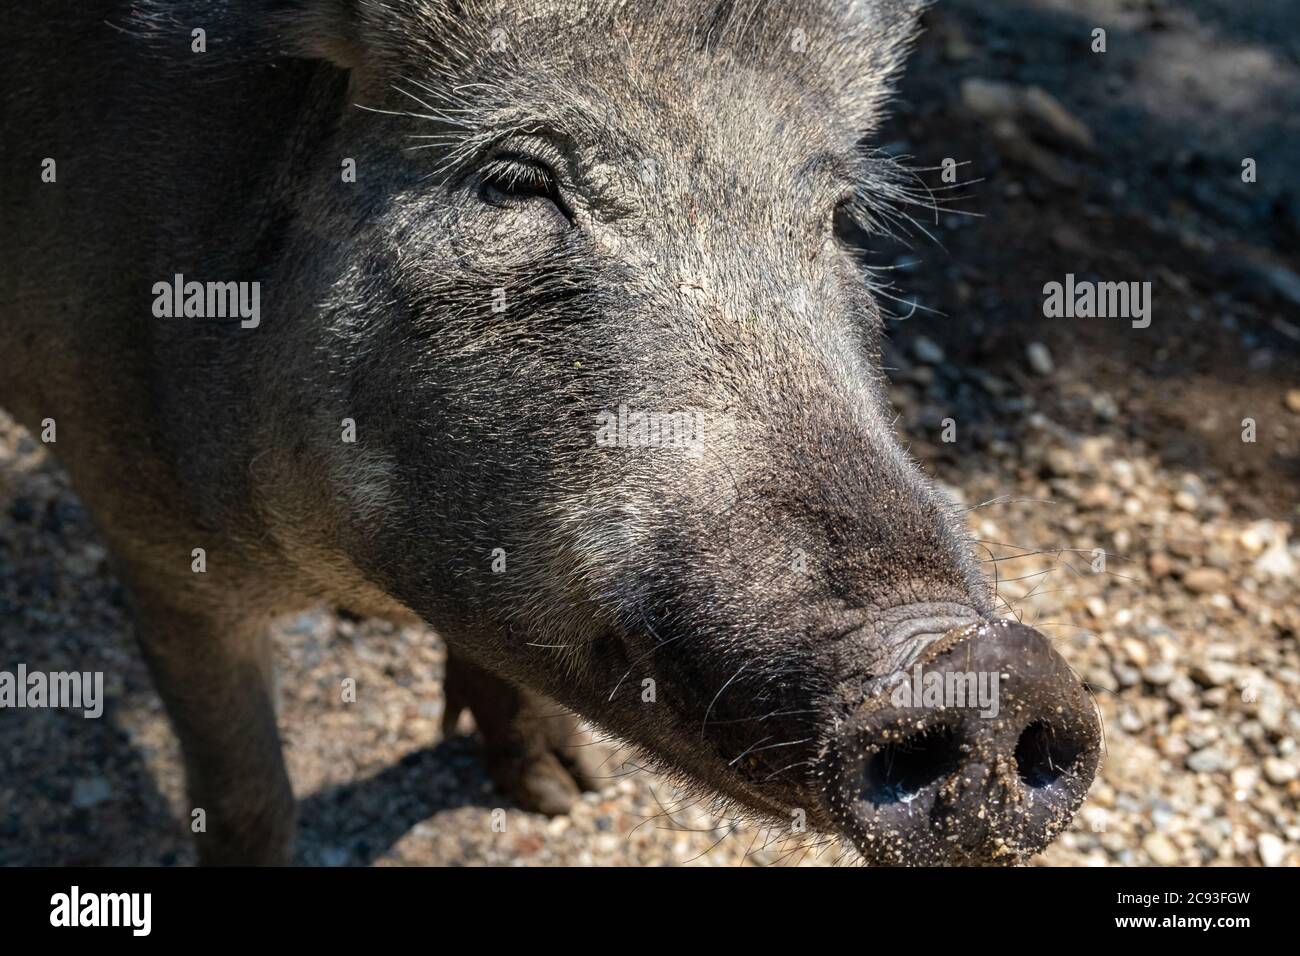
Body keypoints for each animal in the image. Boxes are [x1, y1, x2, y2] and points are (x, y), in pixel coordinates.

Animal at [0, 0, 1101, 865]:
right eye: (515, 181)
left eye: (837, 217)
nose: (988, 672)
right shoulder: (149, 542)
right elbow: (247, 795)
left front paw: (564, 793)